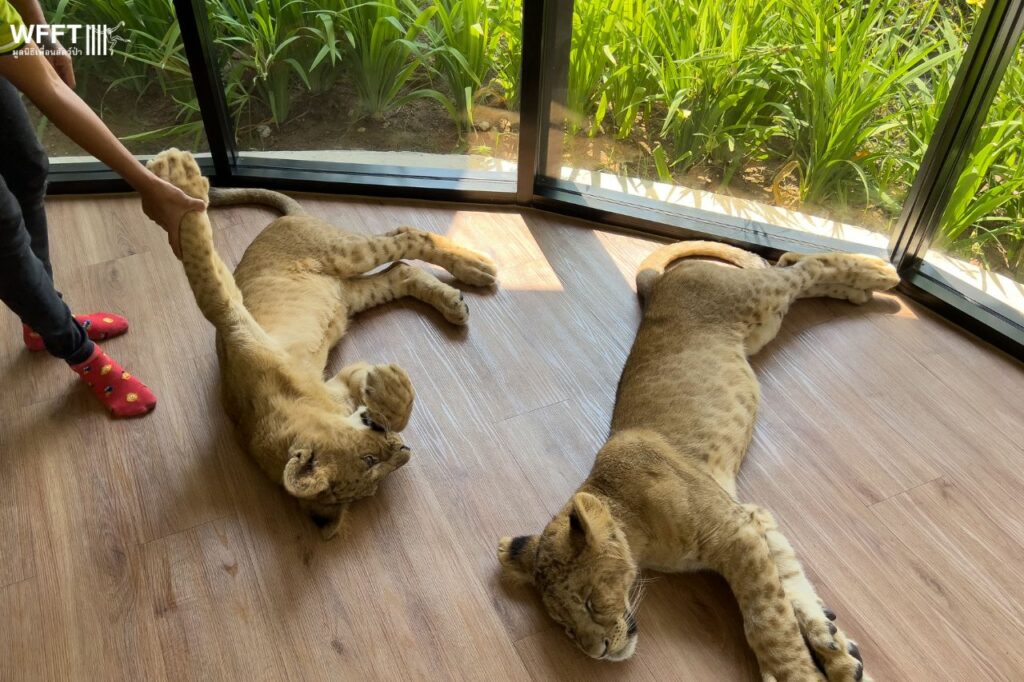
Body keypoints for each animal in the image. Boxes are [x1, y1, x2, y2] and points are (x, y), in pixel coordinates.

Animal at [147, 149, 496, 539]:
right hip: (350, 294)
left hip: (346, 253)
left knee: (409, 235)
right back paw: (453, 301)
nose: (404, 448)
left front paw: (180, 178)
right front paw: (386, 387)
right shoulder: (341, 379)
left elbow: (201, 268)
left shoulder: (235, 319)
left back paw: (478, 268)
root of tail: (290, 217)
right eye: (373, 467)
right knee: (401, 269)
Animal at [498, 240, 899, 680]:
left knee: (809, 267)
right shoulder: (752, 516)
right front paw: (837, 652)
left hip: (757, 296)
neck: (637, 531)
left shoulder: (736, 534)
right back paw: (857, 290)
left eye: (589, 601)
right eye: (565, 627)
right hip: (765, 324)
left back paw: (879, 272)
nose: (597, 653)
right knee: (798, 275)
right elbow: (791, 586)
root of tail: (659, 283)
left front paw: (797, 673)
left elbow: (767, 622)